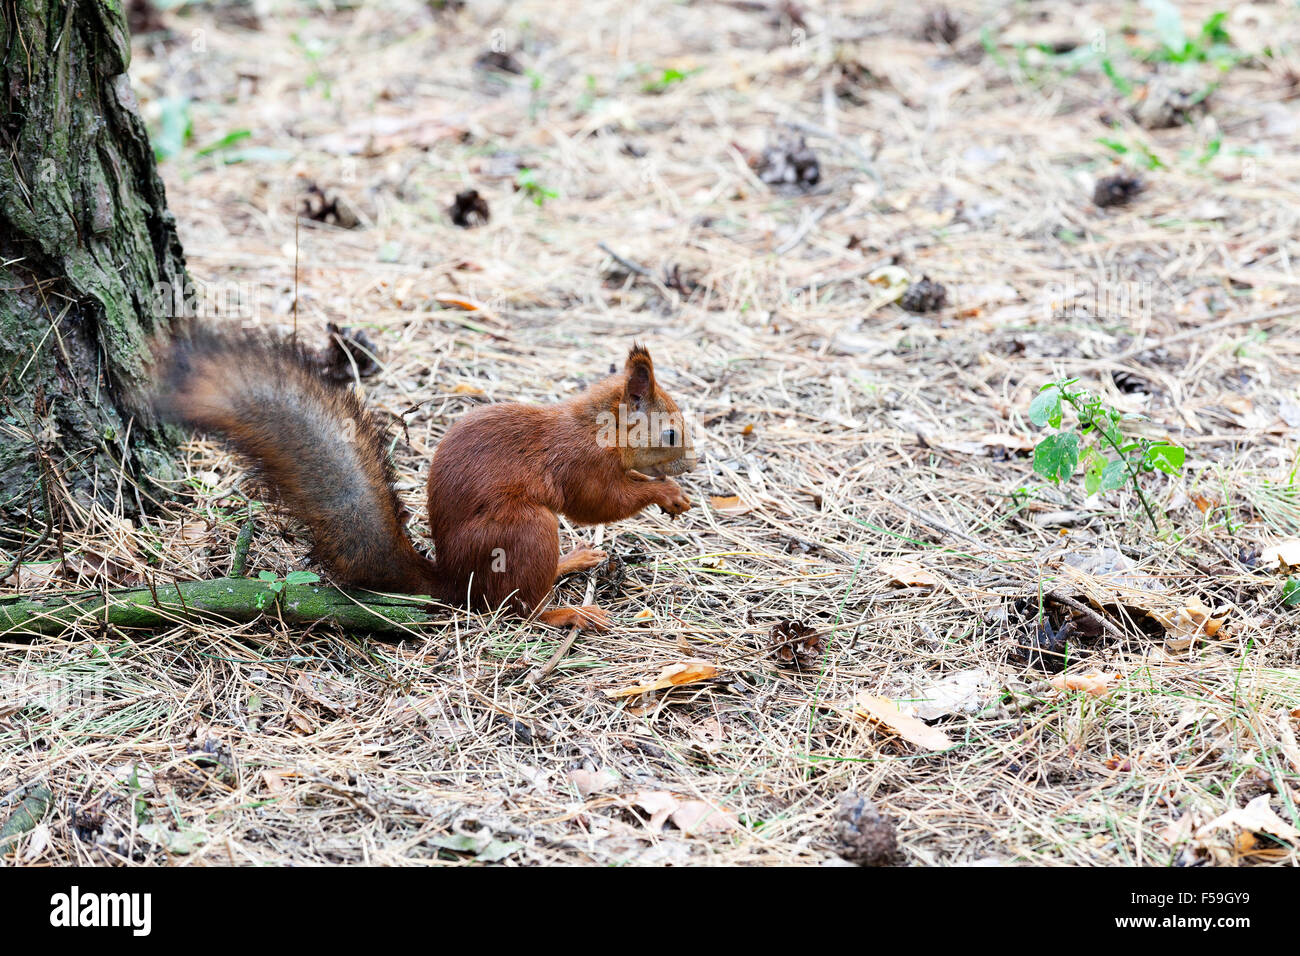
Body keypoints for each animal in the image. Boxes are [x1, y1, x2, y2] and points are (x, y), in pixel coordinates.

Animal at [156, 326, 696, 631]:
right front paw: (667, 493)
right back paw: (565, 613)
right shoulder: (579, 463)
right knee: (515, 606)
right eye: (670, 434)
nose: (691, 465)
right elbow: (598, 503)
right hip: (523, 529)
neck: (595, 426)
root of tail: (453, 580)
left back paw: (572, 561)